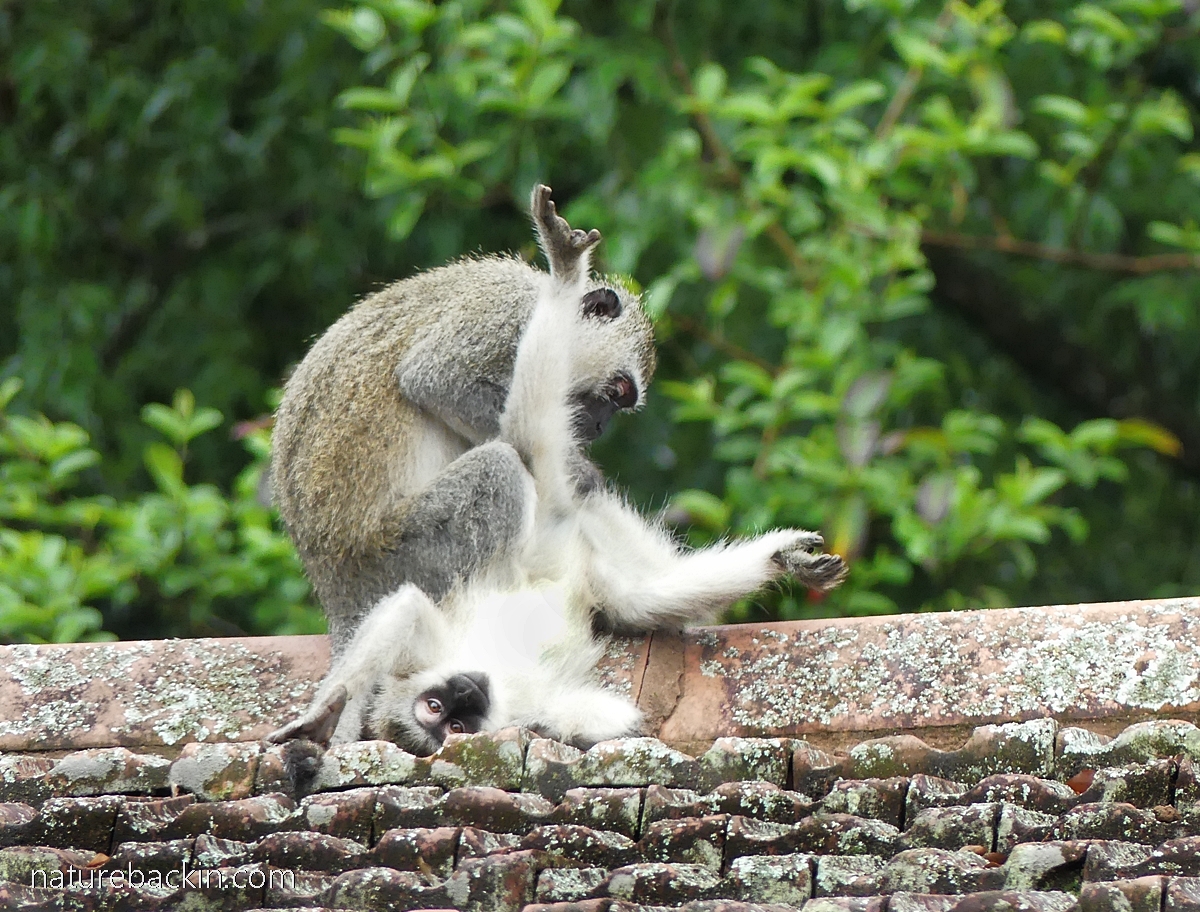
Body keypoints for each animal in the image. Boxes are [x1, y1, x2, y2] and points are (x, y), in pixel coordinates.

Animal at [267, 186, 847, 753]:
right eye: (618, 391)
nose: (599, 428)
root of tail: (335, 590)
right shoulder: (502, 319)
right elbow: (433, 379)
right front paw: (578, 467)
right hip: (399, 554)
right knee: (500, 470)